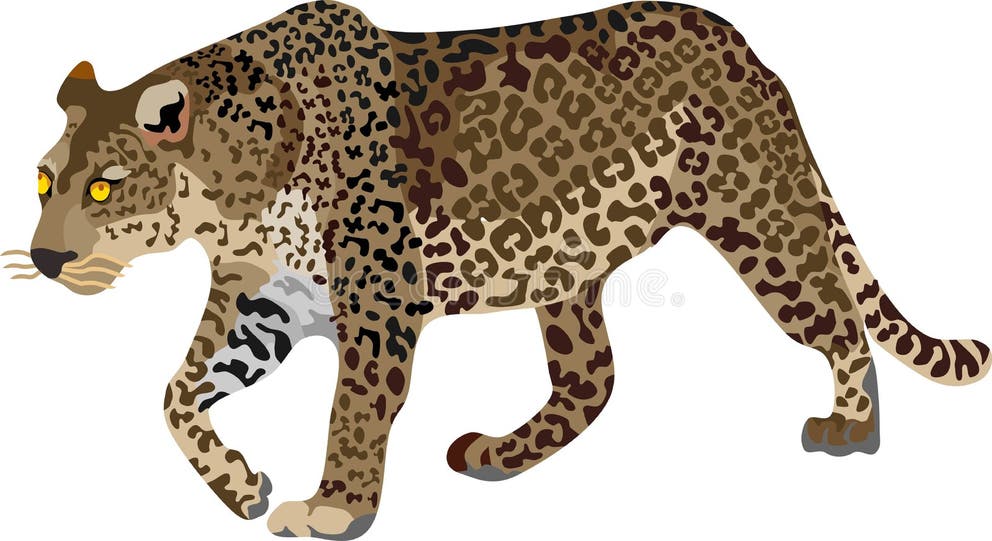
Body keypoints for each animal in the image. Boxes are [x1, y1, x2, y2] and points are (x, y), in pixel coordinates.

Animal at [4, 1, 988, 539]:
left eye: (103, 183)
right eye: (44, 178)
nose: (45, 256)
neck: (233, 194)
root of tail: (745, 47)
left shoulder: (376, 304)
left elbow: (351, 411)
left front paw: (335, 507)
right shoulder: (268, 301)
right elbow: (175, 394)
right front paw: (240, 485)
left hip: (759, 219)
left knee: (836, 314)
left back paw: (850, 425)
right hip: (569, 265)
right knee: (593, 379)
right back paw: (497, 455)